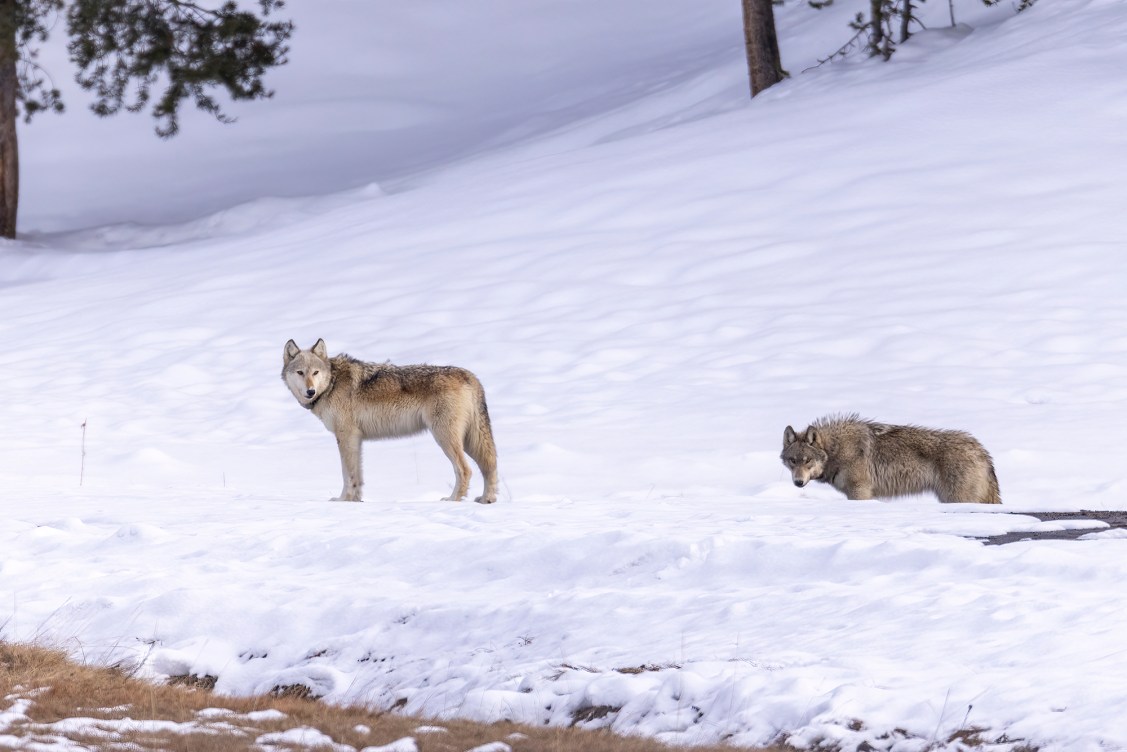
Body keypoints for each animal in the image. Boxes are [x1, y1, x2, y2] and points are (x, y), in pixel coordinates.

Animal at [282, 339, 499, 504]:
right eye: (300, 372)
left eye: (315, 373)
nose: (310, 391)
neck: (332, 383)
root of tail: (469, 375)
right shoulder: (355, 439)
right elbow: (357, 475)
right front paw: (356, 501)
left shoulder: (346, 436)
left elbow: (347, 474)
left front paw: (343, 500)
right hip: (469, 440)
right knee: (489, 464)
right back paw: (487, 499)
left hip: (445, 438)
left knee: (465, 470)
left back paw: (452, 499)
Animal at [780, 414, 1001, 504]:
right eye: (793, 461)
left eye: (807, 460)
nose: (798, 482)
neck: (836, 449)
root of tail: (982, 450)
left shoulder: (860, 492)